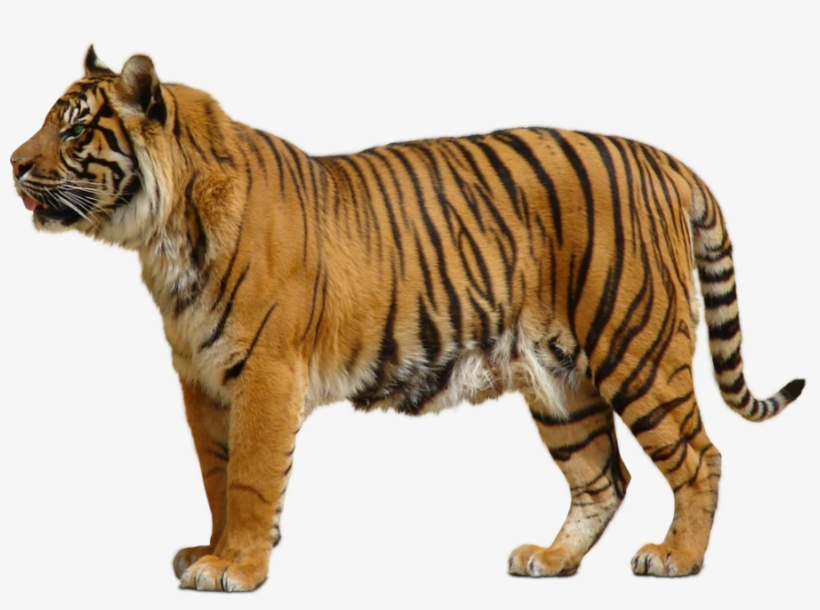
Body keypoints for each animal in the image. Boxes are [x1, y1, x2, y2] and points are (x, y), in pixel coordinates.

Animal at [10, 46, 805, 592]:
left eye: (74, 131)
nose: (13, 163)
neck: (162, 235)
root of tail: (668, 161)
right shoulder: (202, 380)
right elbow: (217, 473)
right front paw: (215, 548)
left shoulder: (266, 372)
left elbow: (252, 476)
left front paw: (234, 566)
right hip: (560, 382)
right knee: (601, 476)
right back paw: (550, 560)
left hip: (636, 348)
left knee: (700, 457)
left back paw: (677, 557)